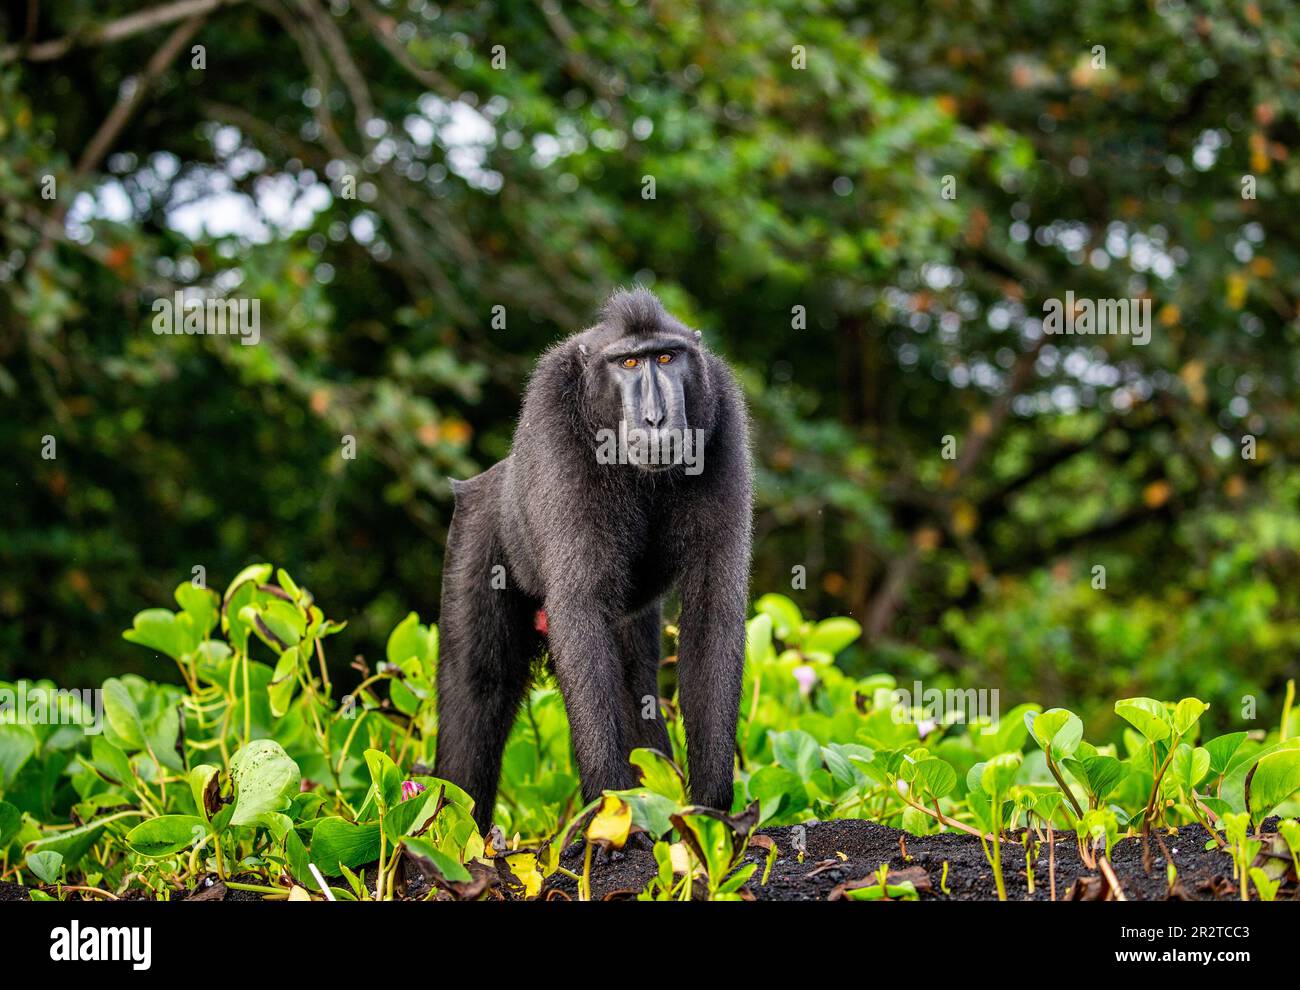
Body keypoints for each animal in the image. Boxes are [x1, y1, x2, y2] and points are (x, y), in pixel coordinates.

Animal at [433, 288, 753, 832]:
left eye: (666, 358)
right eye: (628, 363)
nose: (655, 419)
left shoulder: (724, 417)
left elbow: (713, 613)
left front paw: (710, 813)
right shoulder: (553, 417)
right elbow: (580, 605)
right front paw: (610, 807)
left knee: (632, 683)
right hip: (477, 537)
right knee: (476, 693)